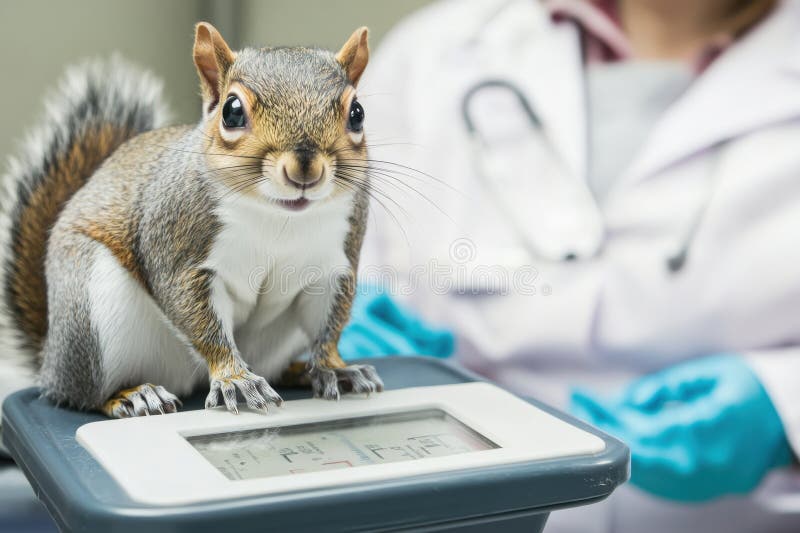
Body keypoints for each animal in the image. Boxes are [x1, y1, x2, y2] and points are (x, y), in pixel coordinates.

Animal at [0, 22, 383, 417]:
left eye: (357, 113)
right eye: (232, 111)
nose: (305, 168)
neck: (279, 218)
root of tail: (50, 363)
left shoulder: (332, 266)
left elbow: (328, 324)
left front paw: (335, 368)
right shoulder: (178, 246)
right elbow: (196, 315)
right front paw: (234, 378)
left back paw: (299, 371)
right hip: (90, 306)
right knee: (87, 394)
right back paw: (131, 395)